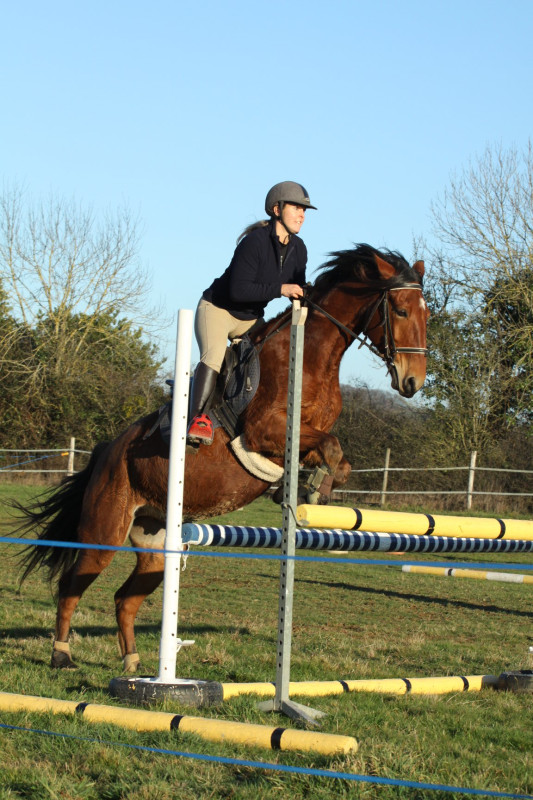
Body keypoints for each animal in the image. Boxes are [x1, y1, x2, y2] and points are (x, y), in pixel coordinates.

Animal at [15, 243, 429, 672]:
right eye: (400, 311)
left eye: (426, 313)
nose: (413, 382)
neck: (310, 357)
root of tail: (106, 451)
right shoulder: (263, 431)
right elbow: (331, 447)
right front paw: (313, 490)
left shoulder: (303, 438)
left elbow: (338, 458)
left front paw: (308, 488)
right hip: (104, 533)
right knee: (72, 585)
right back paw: (62, 654)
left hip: (157, 544)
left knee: (125, 599)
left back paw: (132, 662)